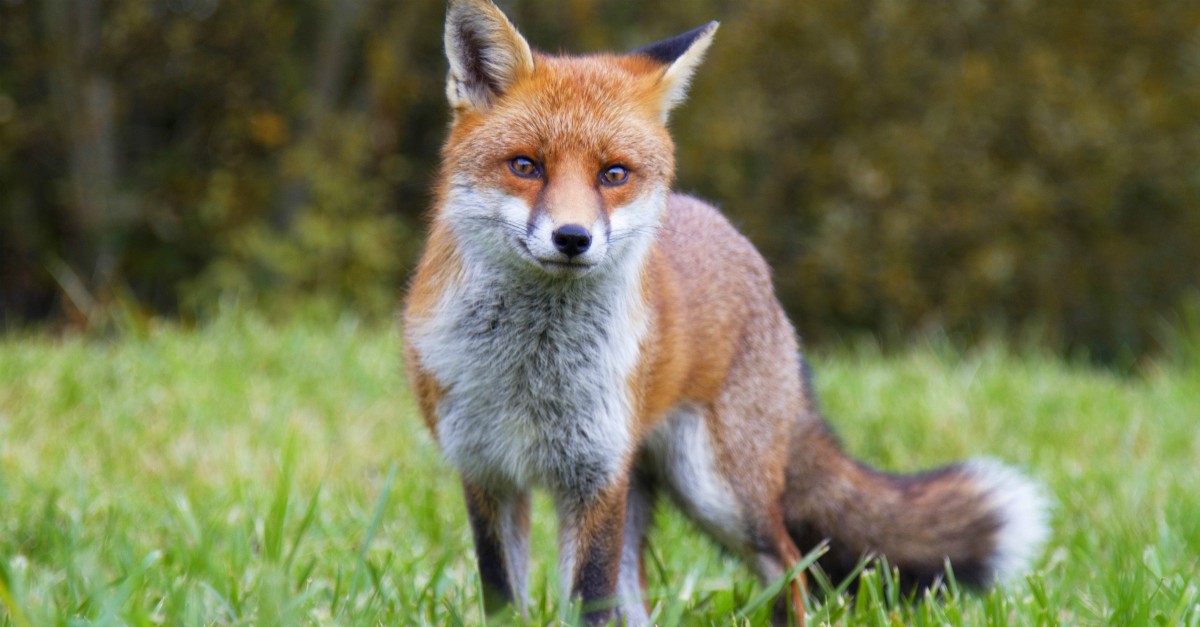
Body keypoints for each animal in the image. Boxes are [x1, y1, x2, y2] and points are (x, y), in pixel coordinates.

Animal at [402, 1, 1051, 624]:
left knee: (792, 569)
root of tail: (734, 236)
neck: (531, 370)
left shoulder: (596, 475)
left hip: (720, 492)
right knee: (641, 599)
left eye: (613, 174)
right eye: (525, 166)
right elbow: (504, 597)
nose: (572, 238)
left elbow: (589, 603)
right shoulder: (487, 473)